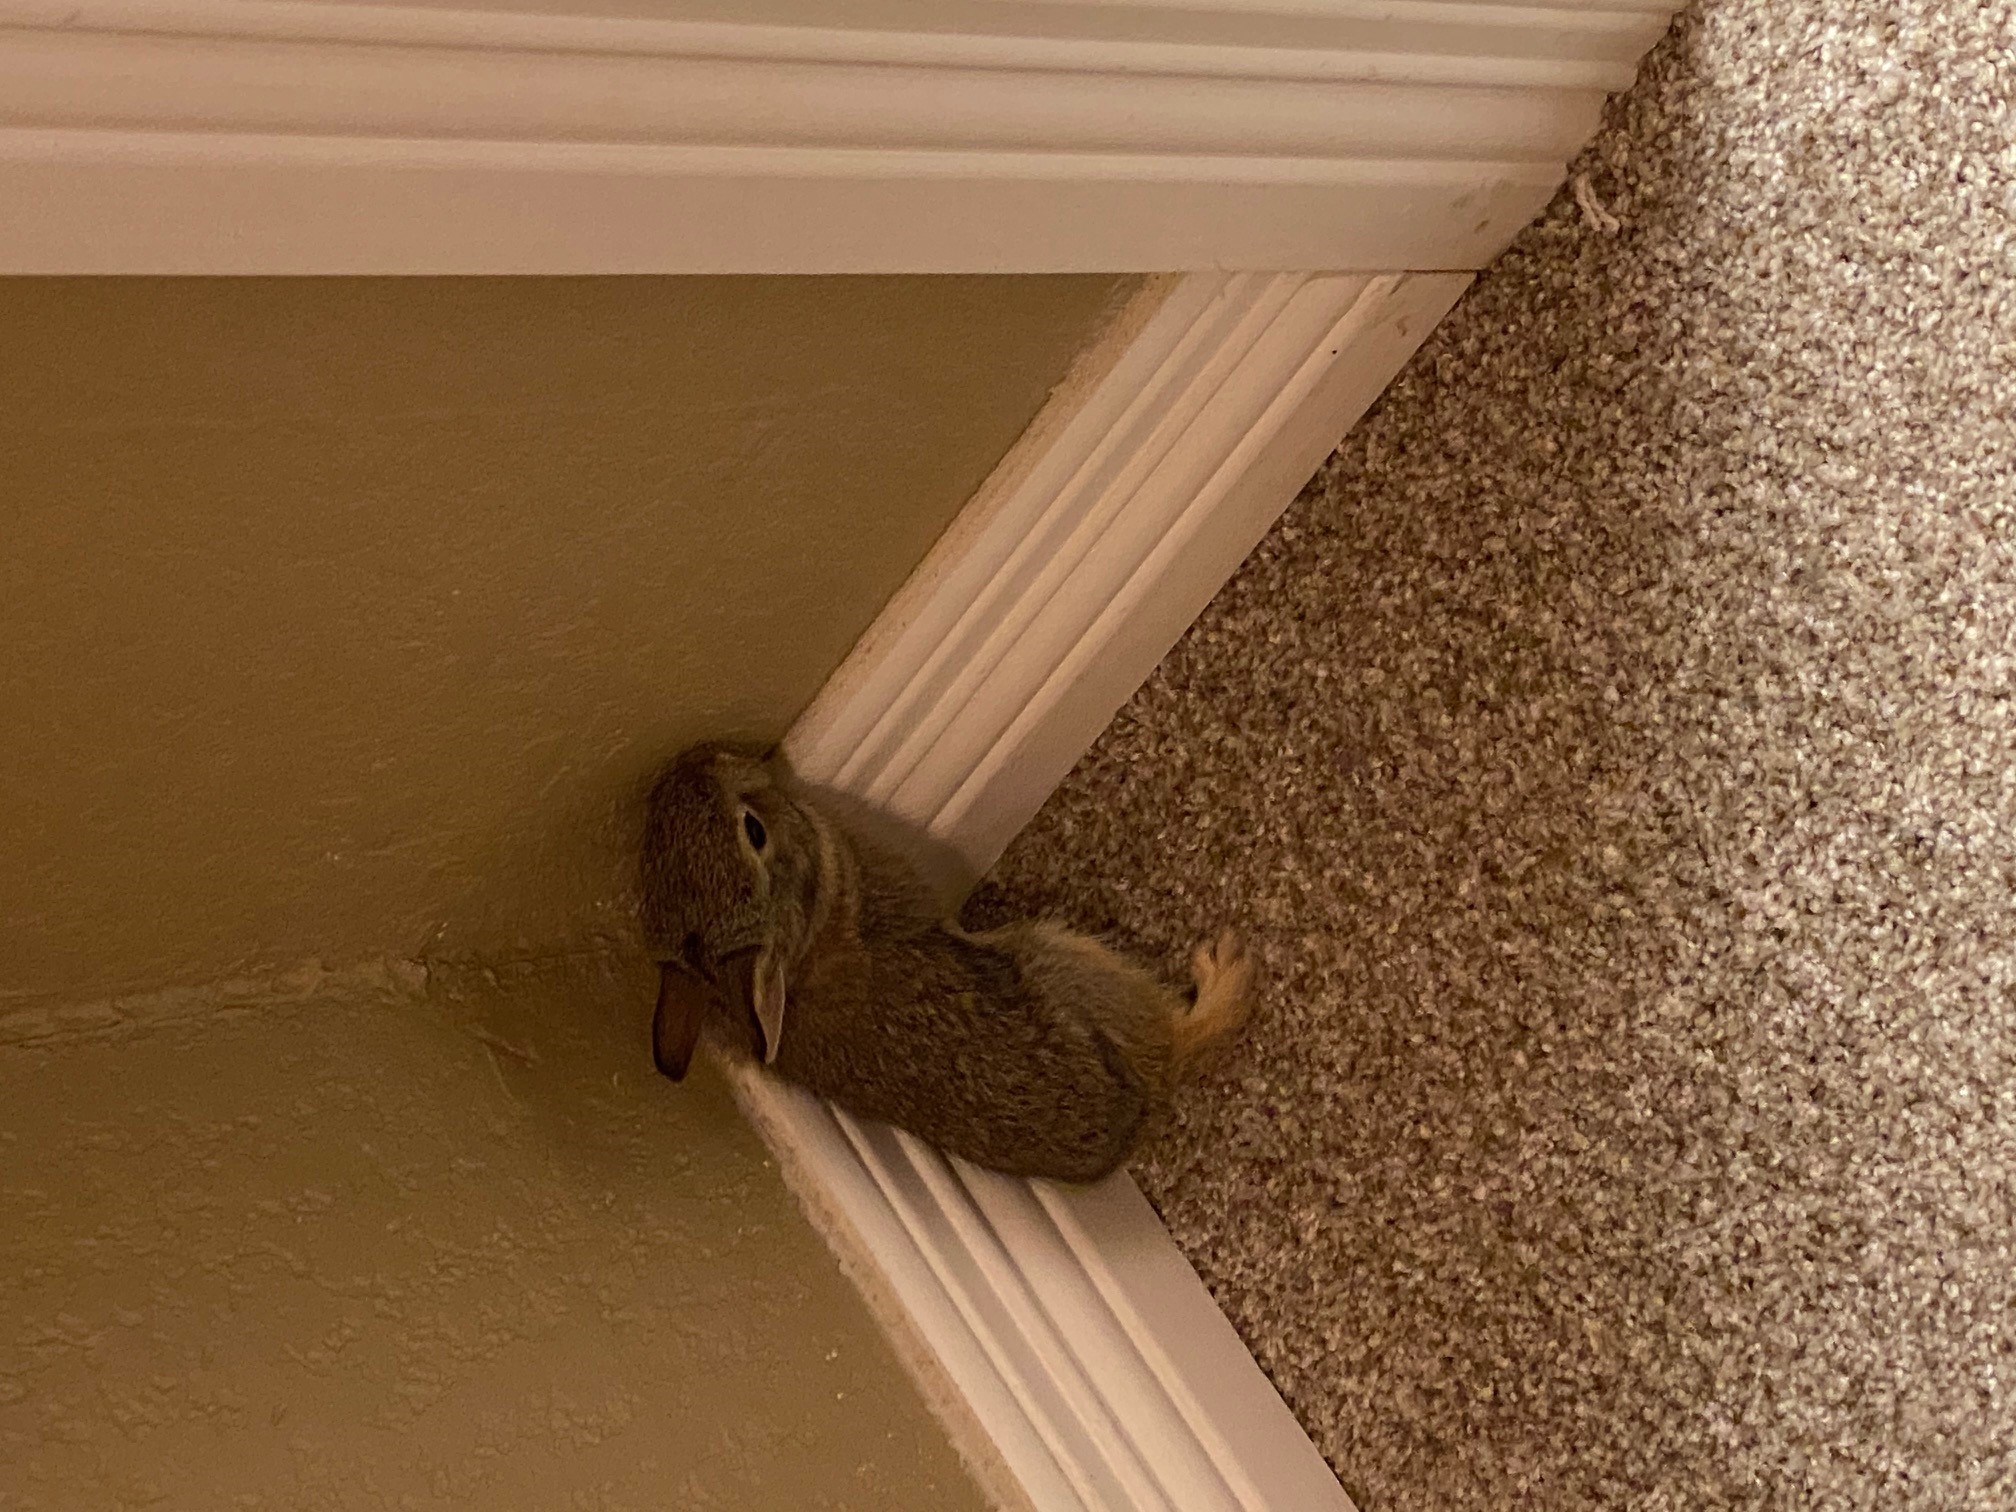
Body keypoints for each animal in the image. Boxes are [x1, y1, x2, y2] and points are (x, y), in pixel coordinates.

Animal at [639, 740, 1254, 1183]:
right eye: (755, 831)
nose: (701, 759)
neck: (807, 935)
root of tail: (1134, 1119)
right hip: (1068, 963)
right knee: (1184, 1038)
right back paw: (1226, 969)